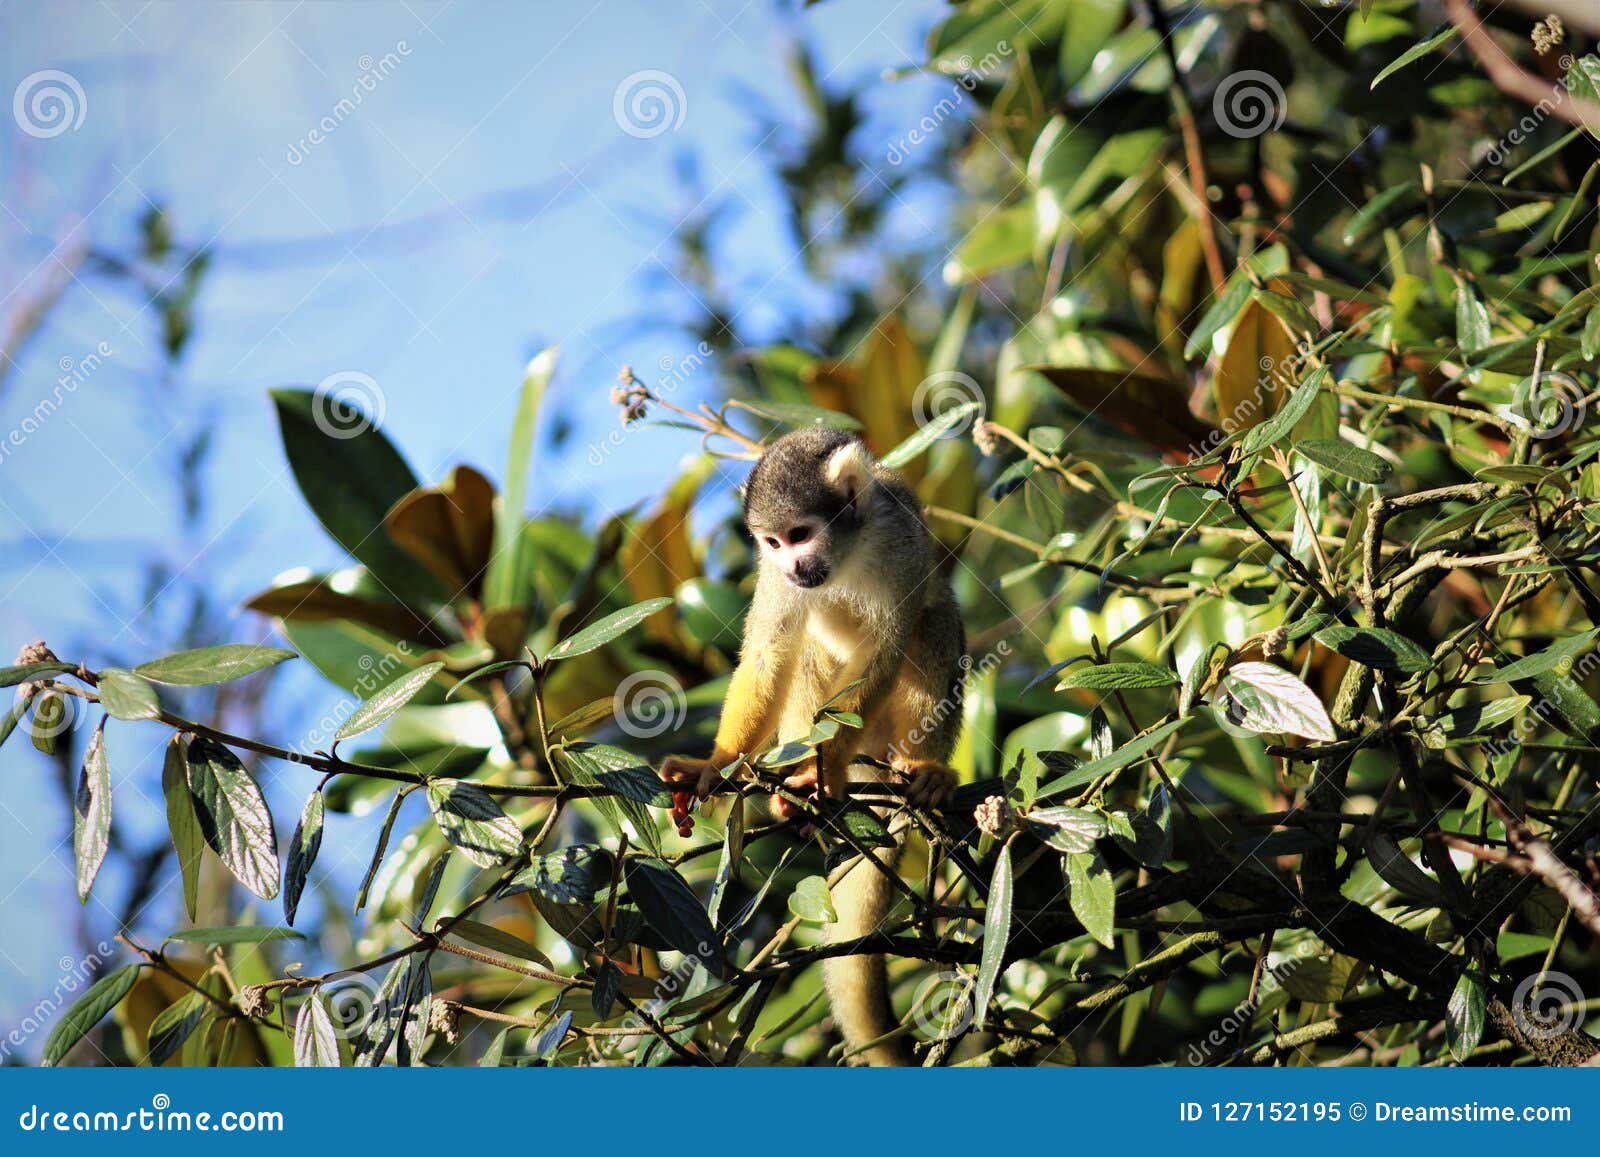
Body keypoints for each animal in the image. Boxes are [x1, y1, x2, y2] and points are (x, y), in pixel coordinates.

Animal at [661, 426, 966, 1066]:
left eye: (801, 534)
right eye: (773, 542)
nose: (794, 563)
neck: (847, 554)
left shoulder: (901, 539)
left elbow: (887, 648)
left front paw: (824, 774)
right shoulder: (772, 577)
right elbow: (769, 654)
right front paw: (716, 764)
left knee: (933, 620)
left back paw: (914, 769)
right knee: (806, 649)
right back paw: (801, 784)